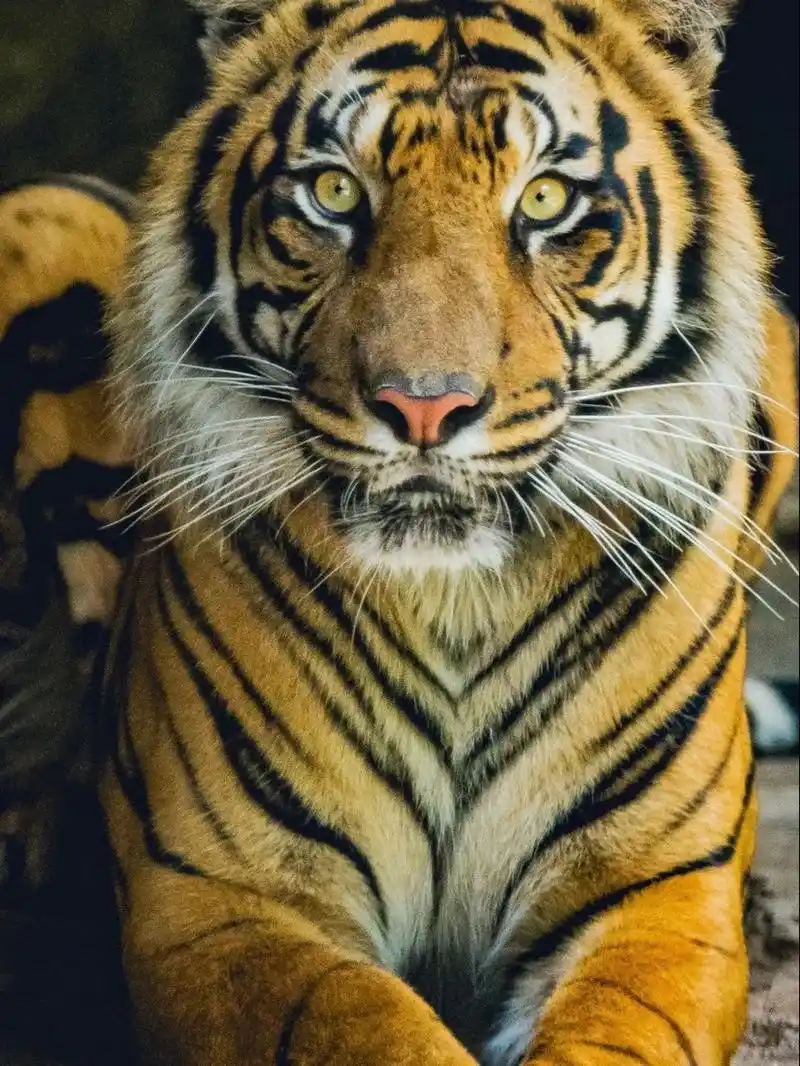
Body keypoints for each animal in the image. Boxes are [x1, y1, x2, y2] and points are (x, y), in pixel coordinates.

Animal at [4, 0, 799, 1064]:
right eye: (336, 191)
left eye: (545, 199)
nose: (424, 407)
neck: (457, 600)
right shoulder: (224, 896)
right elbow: (367, 1022)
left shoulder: (656, 889)